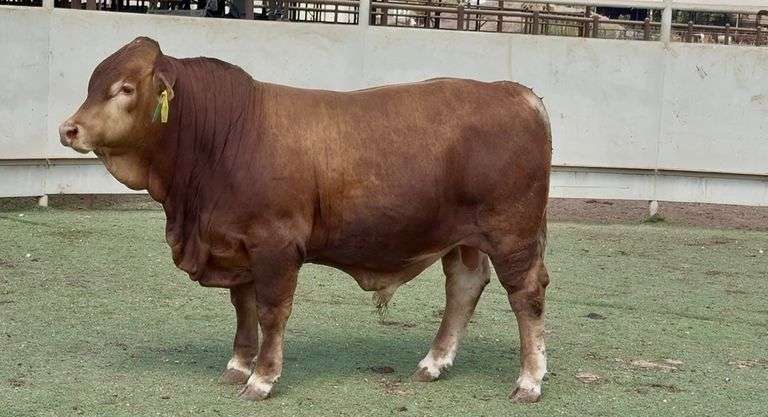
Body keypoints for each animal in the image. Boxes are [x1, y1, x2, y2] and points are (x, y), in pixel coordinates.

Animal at [59, 37, 552, 403]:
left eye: (125, 88)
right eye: (92, 83)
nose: (69, 129)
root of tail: (516, 93)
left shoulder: (275, 245)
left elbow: (271, 310)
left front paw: (262, 379)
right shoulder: (236, 243)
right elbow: (243, 307)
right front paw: (237, 366)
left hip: (512, 232)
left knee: (526, 295)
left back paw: (529, 381)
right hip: (461, 236)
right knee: (464, 287)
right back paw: (433, 364)